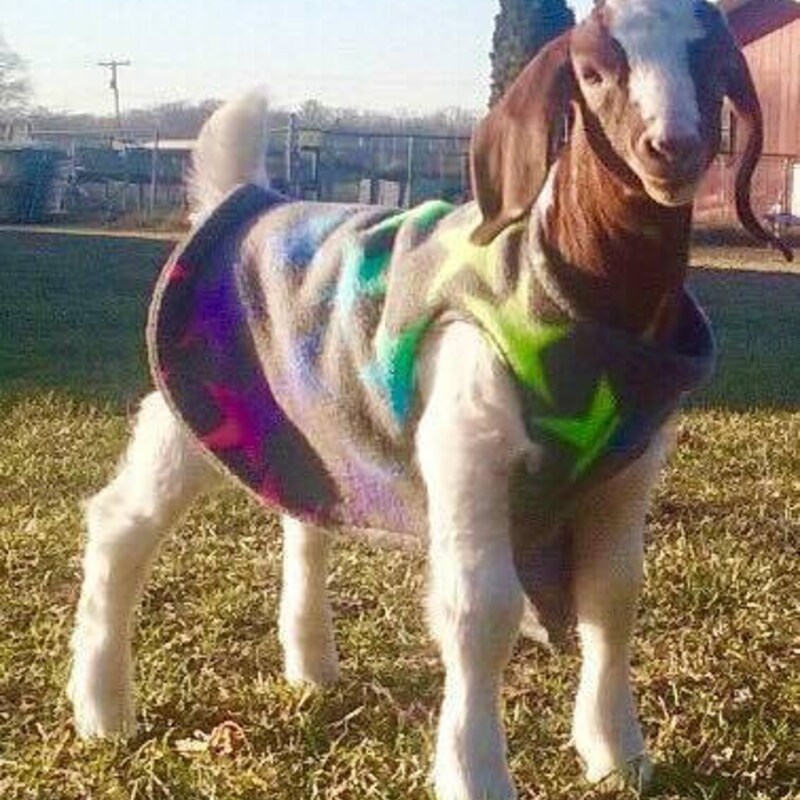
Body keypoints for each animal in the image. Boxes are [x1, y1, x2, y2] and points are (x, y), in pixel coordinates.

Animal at [67, 1, 792, 798]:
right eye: (594, 72)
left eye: (714, 66)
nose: (673, 149)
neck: (579, 298)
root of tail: (245, 199)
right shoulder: (466, 444)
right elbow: (481, 609)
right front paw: (475, 771)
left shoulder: (628, 466)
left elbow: (614, 596)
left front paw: (617, 753)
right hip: (189, 405)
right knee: (122, 524)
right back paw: (103, 709)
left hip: (313, 423)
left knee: (308, 516)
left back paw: (310, 667)